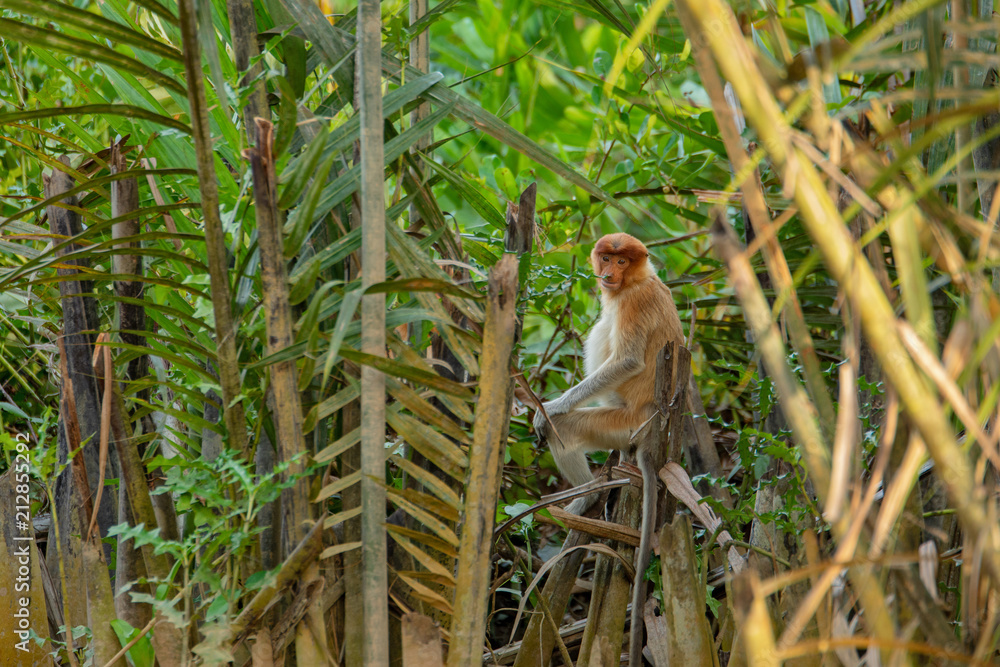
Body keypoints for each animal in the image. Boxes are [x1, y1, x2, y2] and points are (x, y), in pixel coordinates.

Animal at [533, 232, 683, 666]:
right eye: (607, 257)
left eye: (622, 260)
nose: (609, 273)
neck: (638, 281)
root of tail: (653, 426)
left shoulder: (634, 303)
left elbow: (627, 361)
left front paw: (551, 407)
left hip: (620, 424)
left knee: (566, 431)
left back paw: (585, 501)